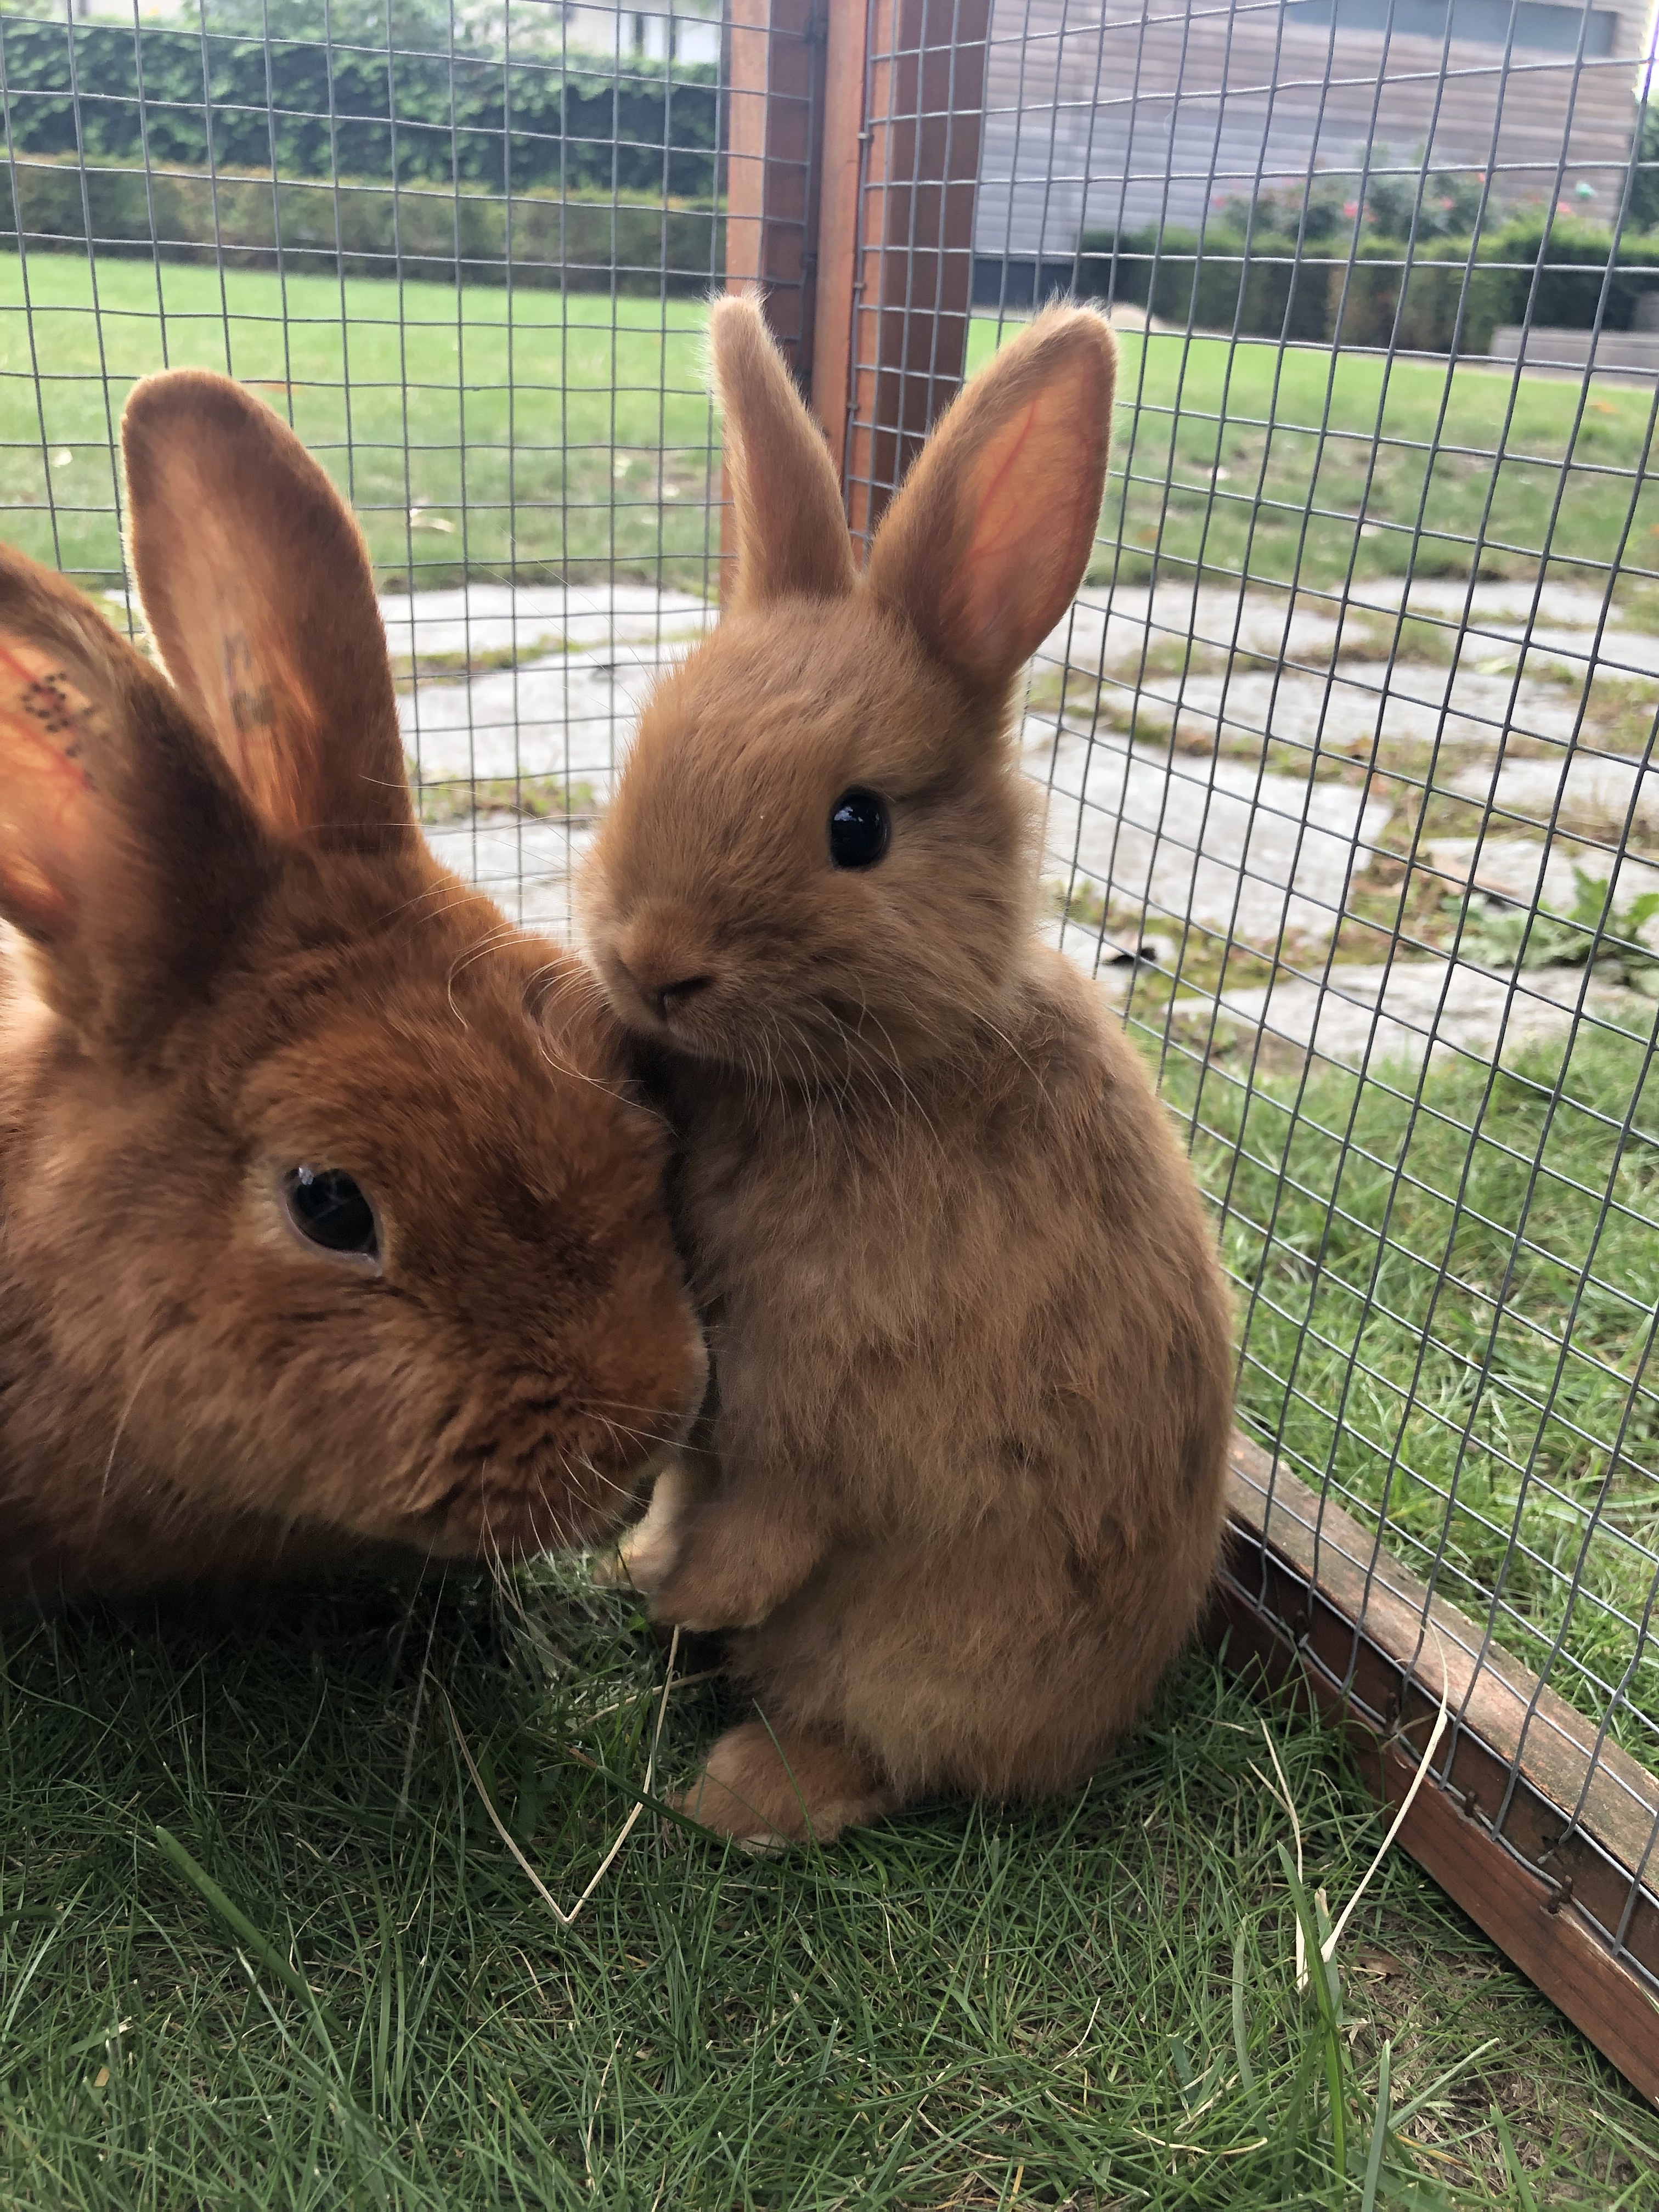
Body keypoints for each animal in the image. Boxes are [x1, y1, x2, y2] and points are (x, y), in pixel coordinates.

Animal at [578, 296, 1235, 1847]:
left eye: (858, 826)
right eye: (644, 746)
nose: (653, 958)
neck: (859, 1077)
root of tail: (1085, 1736)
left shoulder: (829, 1396)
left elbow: (779, 1514)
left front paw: (683, 1592)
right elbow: (696, 1474)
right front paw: (648, 1569)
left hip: (927, 1664)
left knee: (886, 1753)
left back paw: (739, 1786)